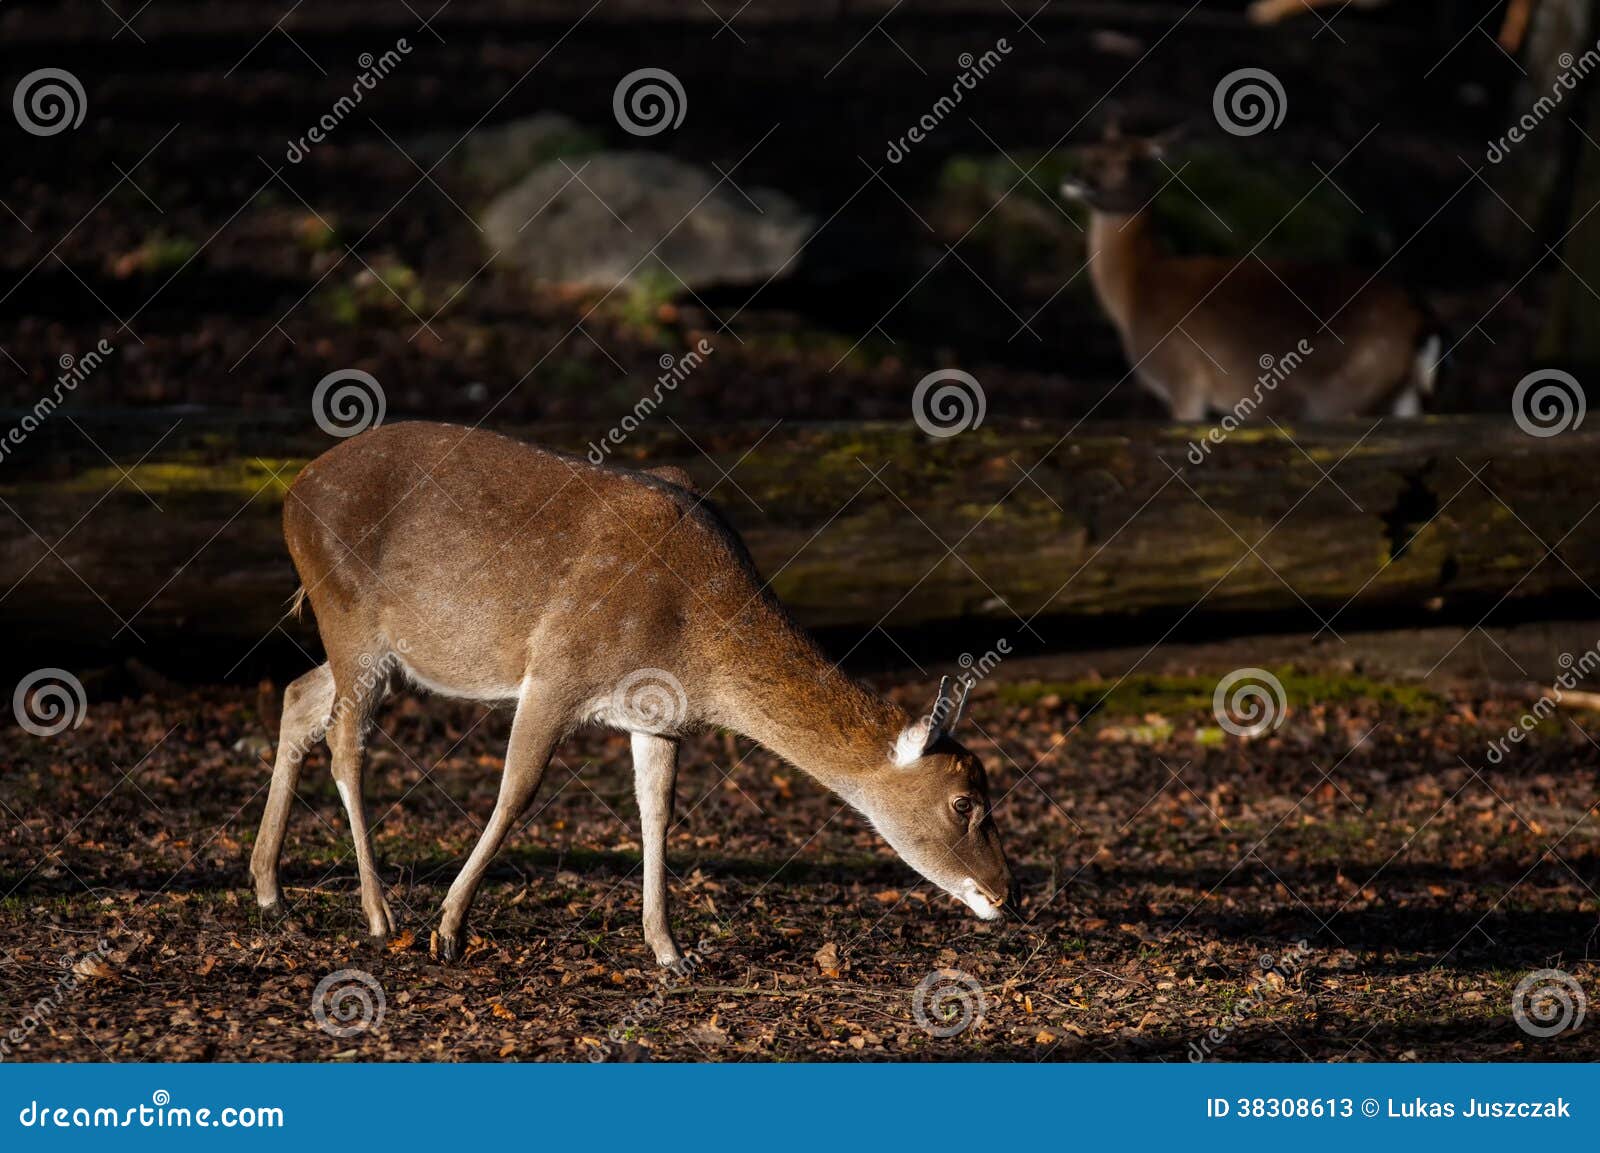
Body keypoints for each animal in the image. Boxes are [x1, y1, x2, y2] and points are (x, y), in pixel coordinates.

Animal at [249, 421, 1016, 964]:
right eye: (964, 802)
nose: (1005, 894)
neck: (695, 641)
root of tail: (290, 496)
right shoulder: (555, 670)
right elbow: (516, 792)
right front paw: (449, 929)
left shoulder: (657, 715)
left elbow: (657, 812)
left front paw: (669, 951)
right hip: (349, 616)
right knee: (345, 742)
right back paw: (379, 916)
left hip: (373, 646)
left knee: (297, 696)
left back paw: (268, 888)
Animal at [1059, 127, 1441, 422]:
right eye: (1088, 151)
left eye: (1129, 161)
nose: (1074, 179)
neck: (1136, 290)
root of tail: (1423, 323)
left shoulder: (1183, 378)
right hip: (1404, 396)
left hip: (1338, 396)